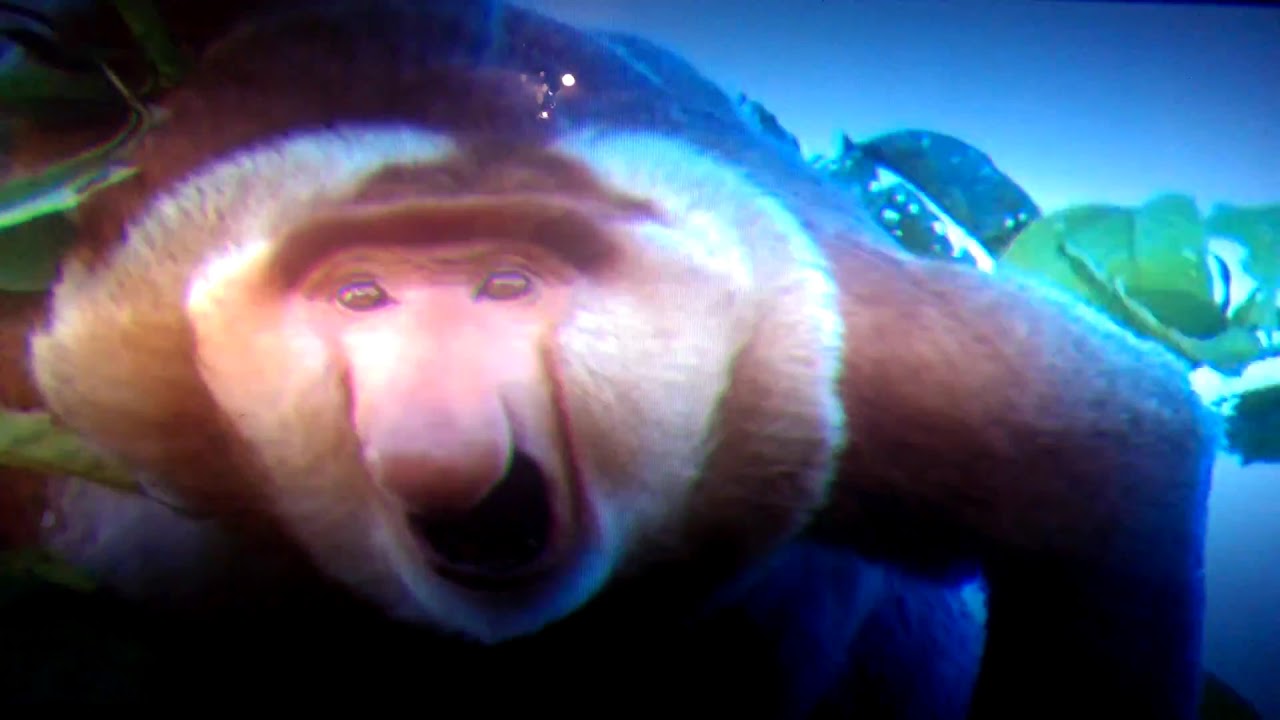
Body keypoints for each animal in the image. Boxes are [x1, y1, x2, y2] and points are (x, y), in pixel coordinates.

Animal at [0, 1, 1217, 716]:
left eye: (508, 286)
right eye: (361, 296)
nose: (439, 410)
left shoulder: (814, 340)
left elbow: (1112, 453)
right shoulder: (114, 355)